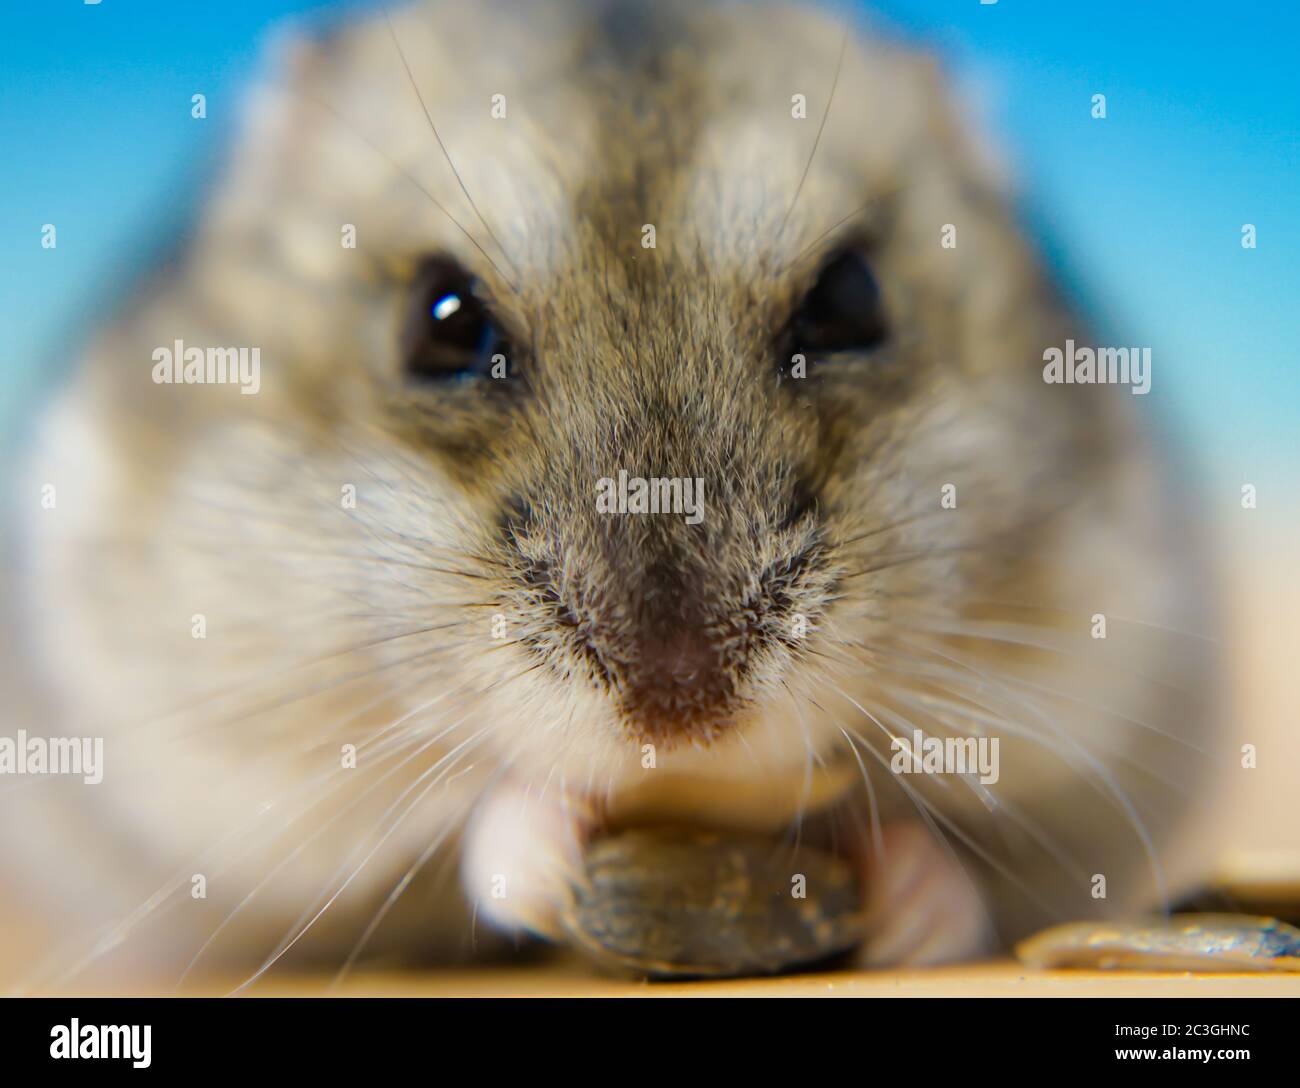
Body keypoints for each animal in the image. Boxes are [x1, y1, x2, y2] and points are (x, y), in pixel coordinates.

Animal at [2, 0, 1220, 989]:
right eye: (442, 324)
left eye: (851, 299)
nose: (679, 707)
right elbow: (465, 830)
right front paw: (544, 853)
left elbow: (978, 865)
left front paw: (910, 895)